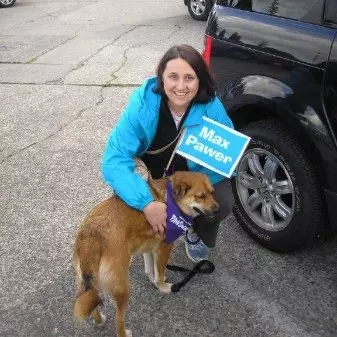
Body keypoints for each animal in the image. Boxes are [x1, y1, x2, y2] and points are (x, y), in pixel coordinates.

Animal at [72, 169, 218, 336]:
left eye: (212, 192)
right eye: (201, 196)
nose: (217, 209)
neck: (171, 199)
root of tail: (92, 235)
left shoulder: (148, 248)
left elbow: (151, 269)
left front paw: (153, 279)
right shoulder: (164, 248)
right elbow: (160, 272)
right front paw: (162, 287)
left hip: (87, 282)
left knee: (92, 299)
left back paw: (99, 320)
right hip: (122, 288)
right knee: (118, 318)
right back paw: (123, 332)